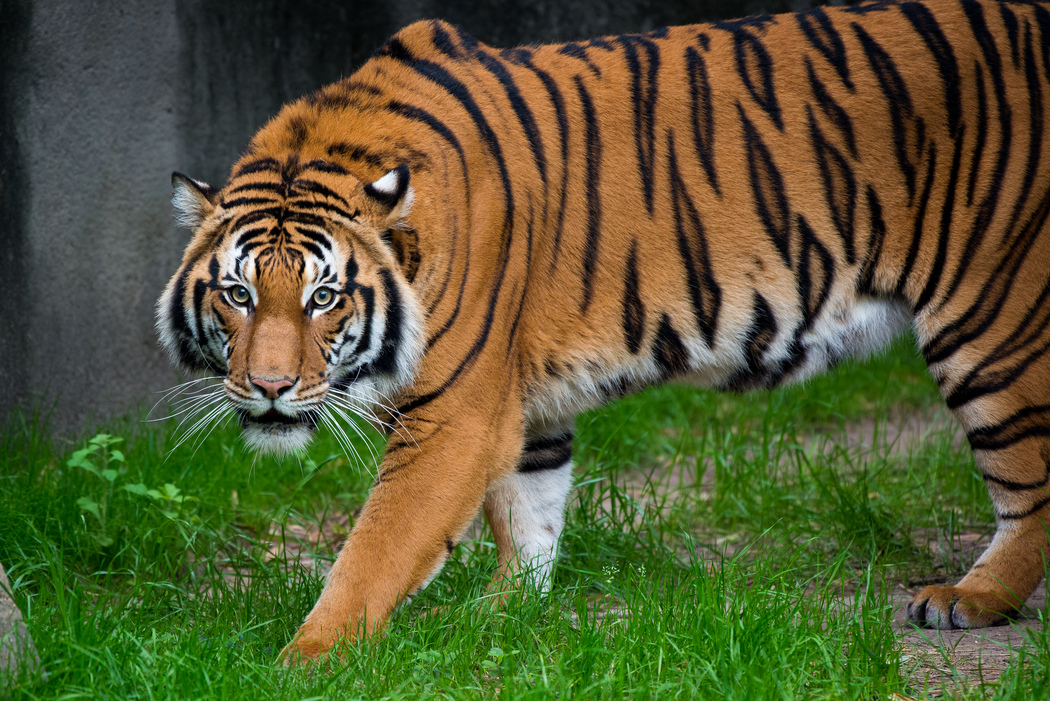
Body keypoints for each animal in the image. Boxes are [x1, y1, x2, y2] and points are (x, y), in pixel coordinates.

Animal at [158, 0, 1050, 661]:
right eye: (238, 294)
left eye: (324, 298)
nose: (270, 388)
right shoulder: (523, 406)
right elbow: (530, 514)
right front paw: (501, 615)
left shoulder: (454, 416)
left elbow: (376, 548)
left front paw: (303, 660)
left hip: (992, 314)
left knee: (1028, 481)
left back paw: (971, 597)